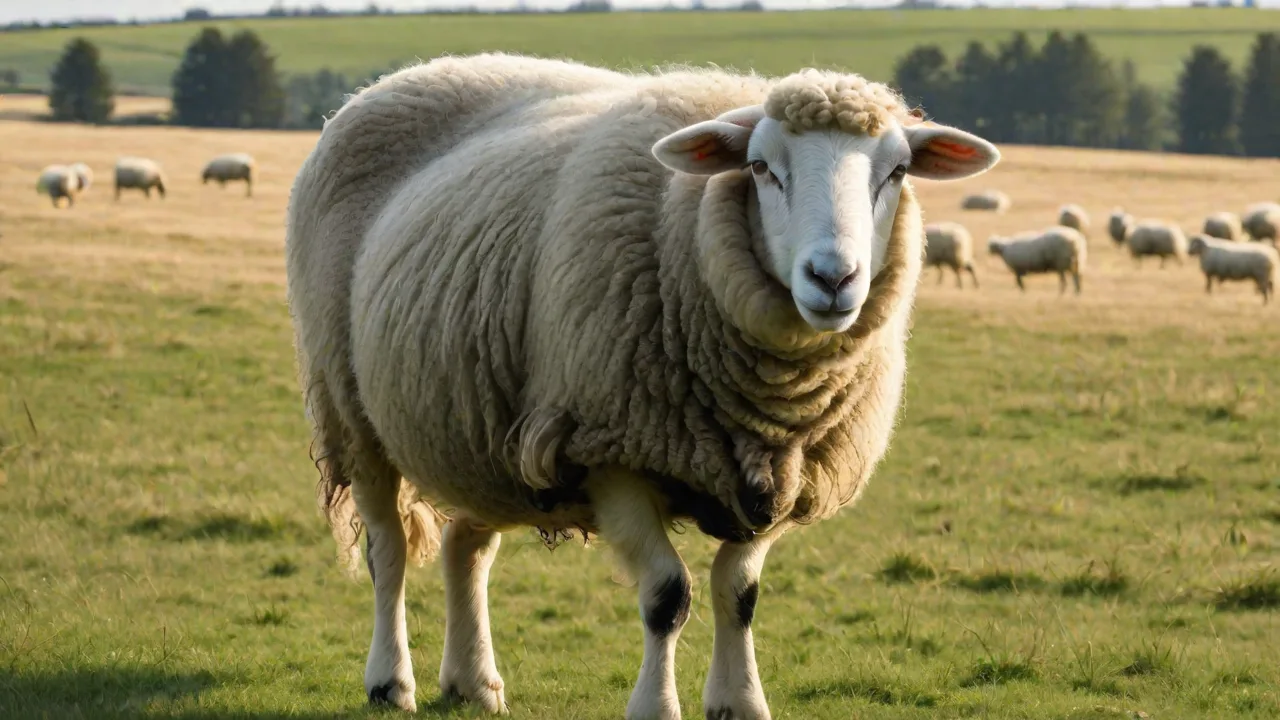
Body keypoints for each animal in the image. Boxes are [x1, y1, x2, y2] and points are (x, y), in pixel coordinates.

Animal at [285, 53, 999, 719]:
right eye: (761, 167)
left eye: (898, 171)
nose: (833, 277)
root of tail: (404, 76)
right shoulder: (610, 450)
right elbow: (667, 596)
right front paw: (656, 705)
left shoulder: (782, 469)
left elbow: (738, 594)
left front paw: (741, 701)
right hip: (352, 411)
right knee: (388, 550)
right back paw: (390, 682)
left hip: (477, 425)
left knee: (467, 548)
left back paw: (474, 684)